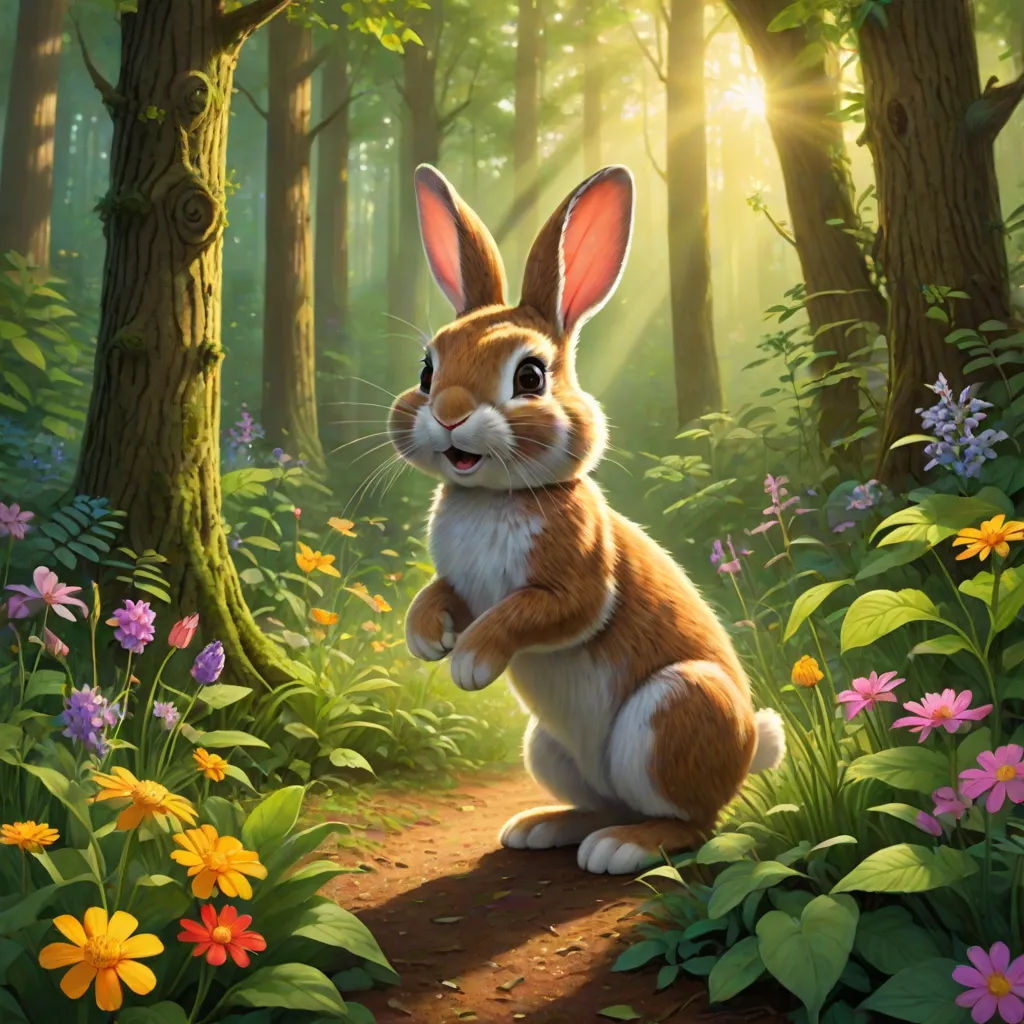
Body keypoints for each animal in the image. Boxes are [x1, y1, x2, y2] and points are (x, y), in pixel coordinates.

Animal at [388, 162, 786, 875]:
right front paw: (427, 640)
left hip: (675, 710)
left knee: (694, 821)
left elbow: (532, 612)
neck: (494, 496)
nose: (450, 415)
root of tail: (748, 751)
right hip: (548, 748)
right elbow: (437, 594)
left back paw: (625, 848)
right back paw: (542, 827)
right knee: (603, 803)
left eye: (530, 376)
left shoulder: (578, 584)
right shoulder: (459, 583)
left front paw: (470, 663)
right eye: (427, 369)